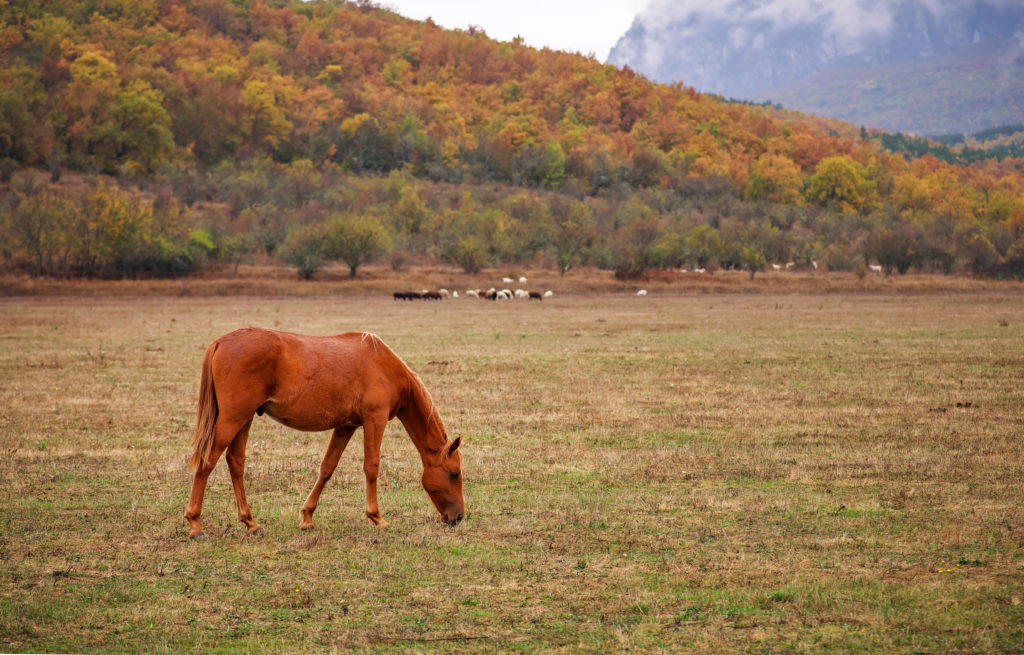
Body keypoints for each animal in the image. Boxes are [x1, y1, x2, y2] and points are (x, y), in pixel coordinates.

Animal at [184, 327, 464, 539]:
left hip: (244, 418)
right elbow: (371, 467)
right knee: (207, 460)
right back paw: (195, 524)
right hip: (233, 418)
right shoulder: (375, 419)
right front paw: (376, 517)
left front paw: (307, 517)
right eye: (454, 474)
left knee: (236, 462)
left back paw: (250, 522)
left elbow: (327, 467)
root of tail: (220, 342)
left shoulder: (346, 426)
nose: (459, 516)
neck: (383, 364)